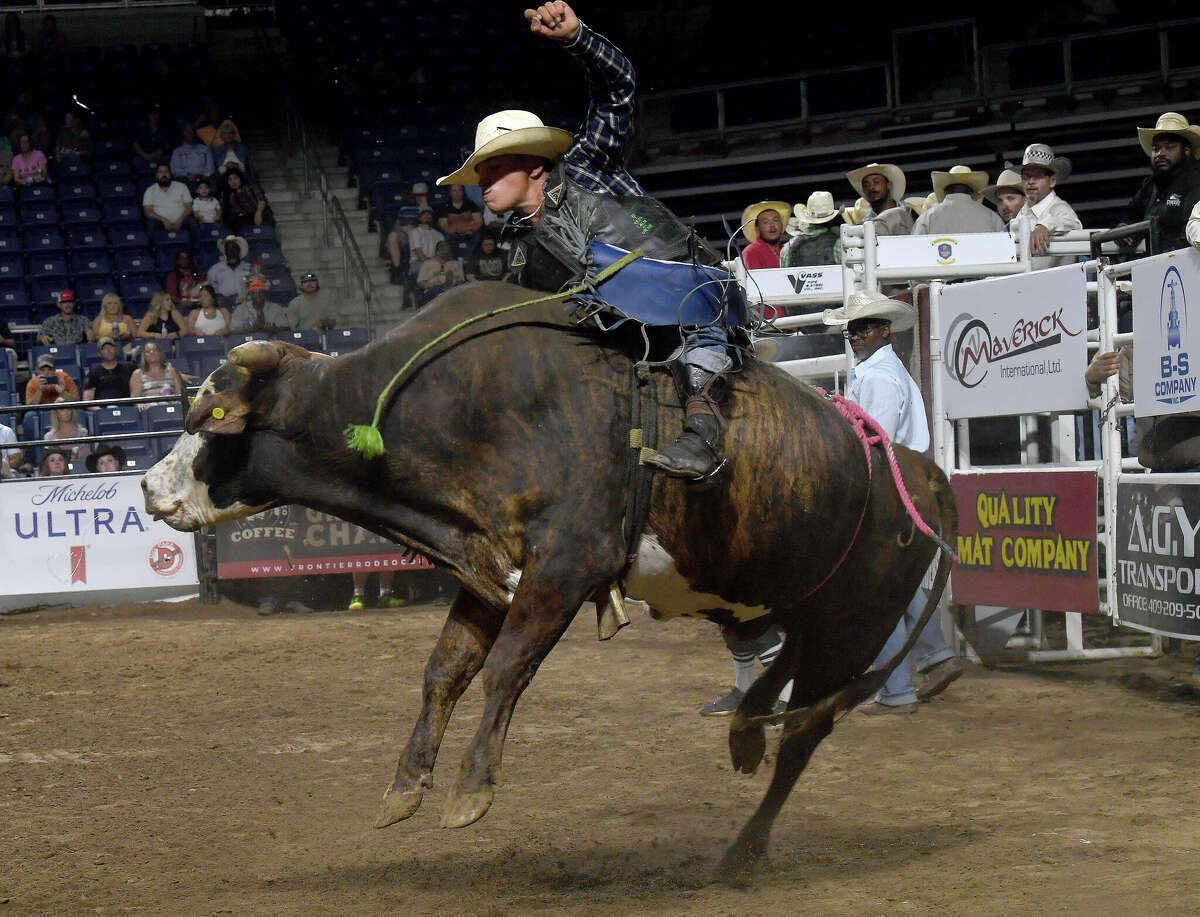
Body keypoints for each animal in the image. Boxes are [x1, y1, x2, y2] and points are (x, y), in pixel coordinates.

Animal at [142, 281, 955, 885]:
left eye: (207, 420)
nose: (148, 486)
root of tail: (920, 470)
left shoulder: (567, 565)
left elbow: (506, 668)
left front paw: (470, 792)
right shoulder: (488, 569)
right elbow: (444, 671)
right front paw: (404, 788)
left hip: (853, 627)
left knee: (806, 732)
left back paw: (742, 849)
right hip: (802, 608)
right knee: (780, 675)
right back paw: (744, 731)